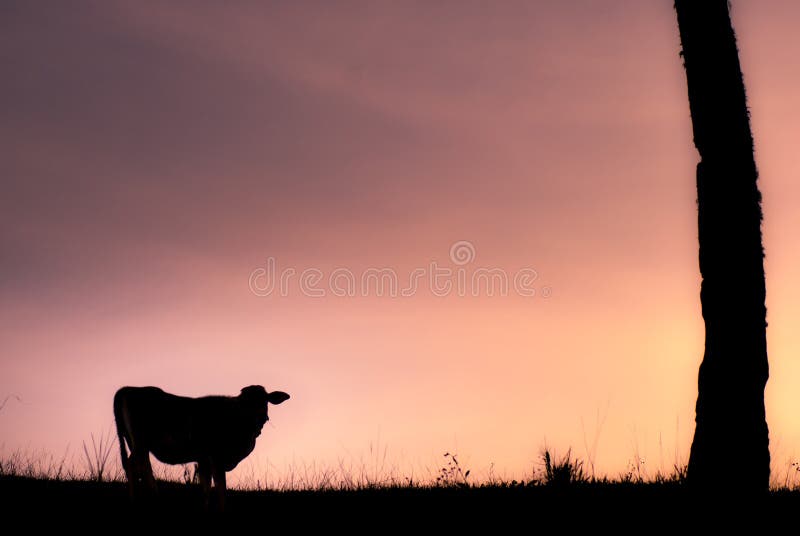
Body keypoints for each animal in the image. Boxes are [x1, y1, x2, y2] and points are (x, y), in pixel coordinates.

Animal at [114, 385, 289, 509]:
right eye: (244, 404)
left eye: (265, 400)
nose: (260, 418)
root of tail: (128, 388)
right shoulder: (216, 458)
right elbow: (220, 487)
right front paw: (221, 511)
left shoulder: (204, 459)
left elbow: (205, 487)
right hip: (140, 442)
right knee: (140, 466)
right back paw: (149, 498)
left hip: (134, 443)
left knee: (134, 466)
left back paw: (139, 499)